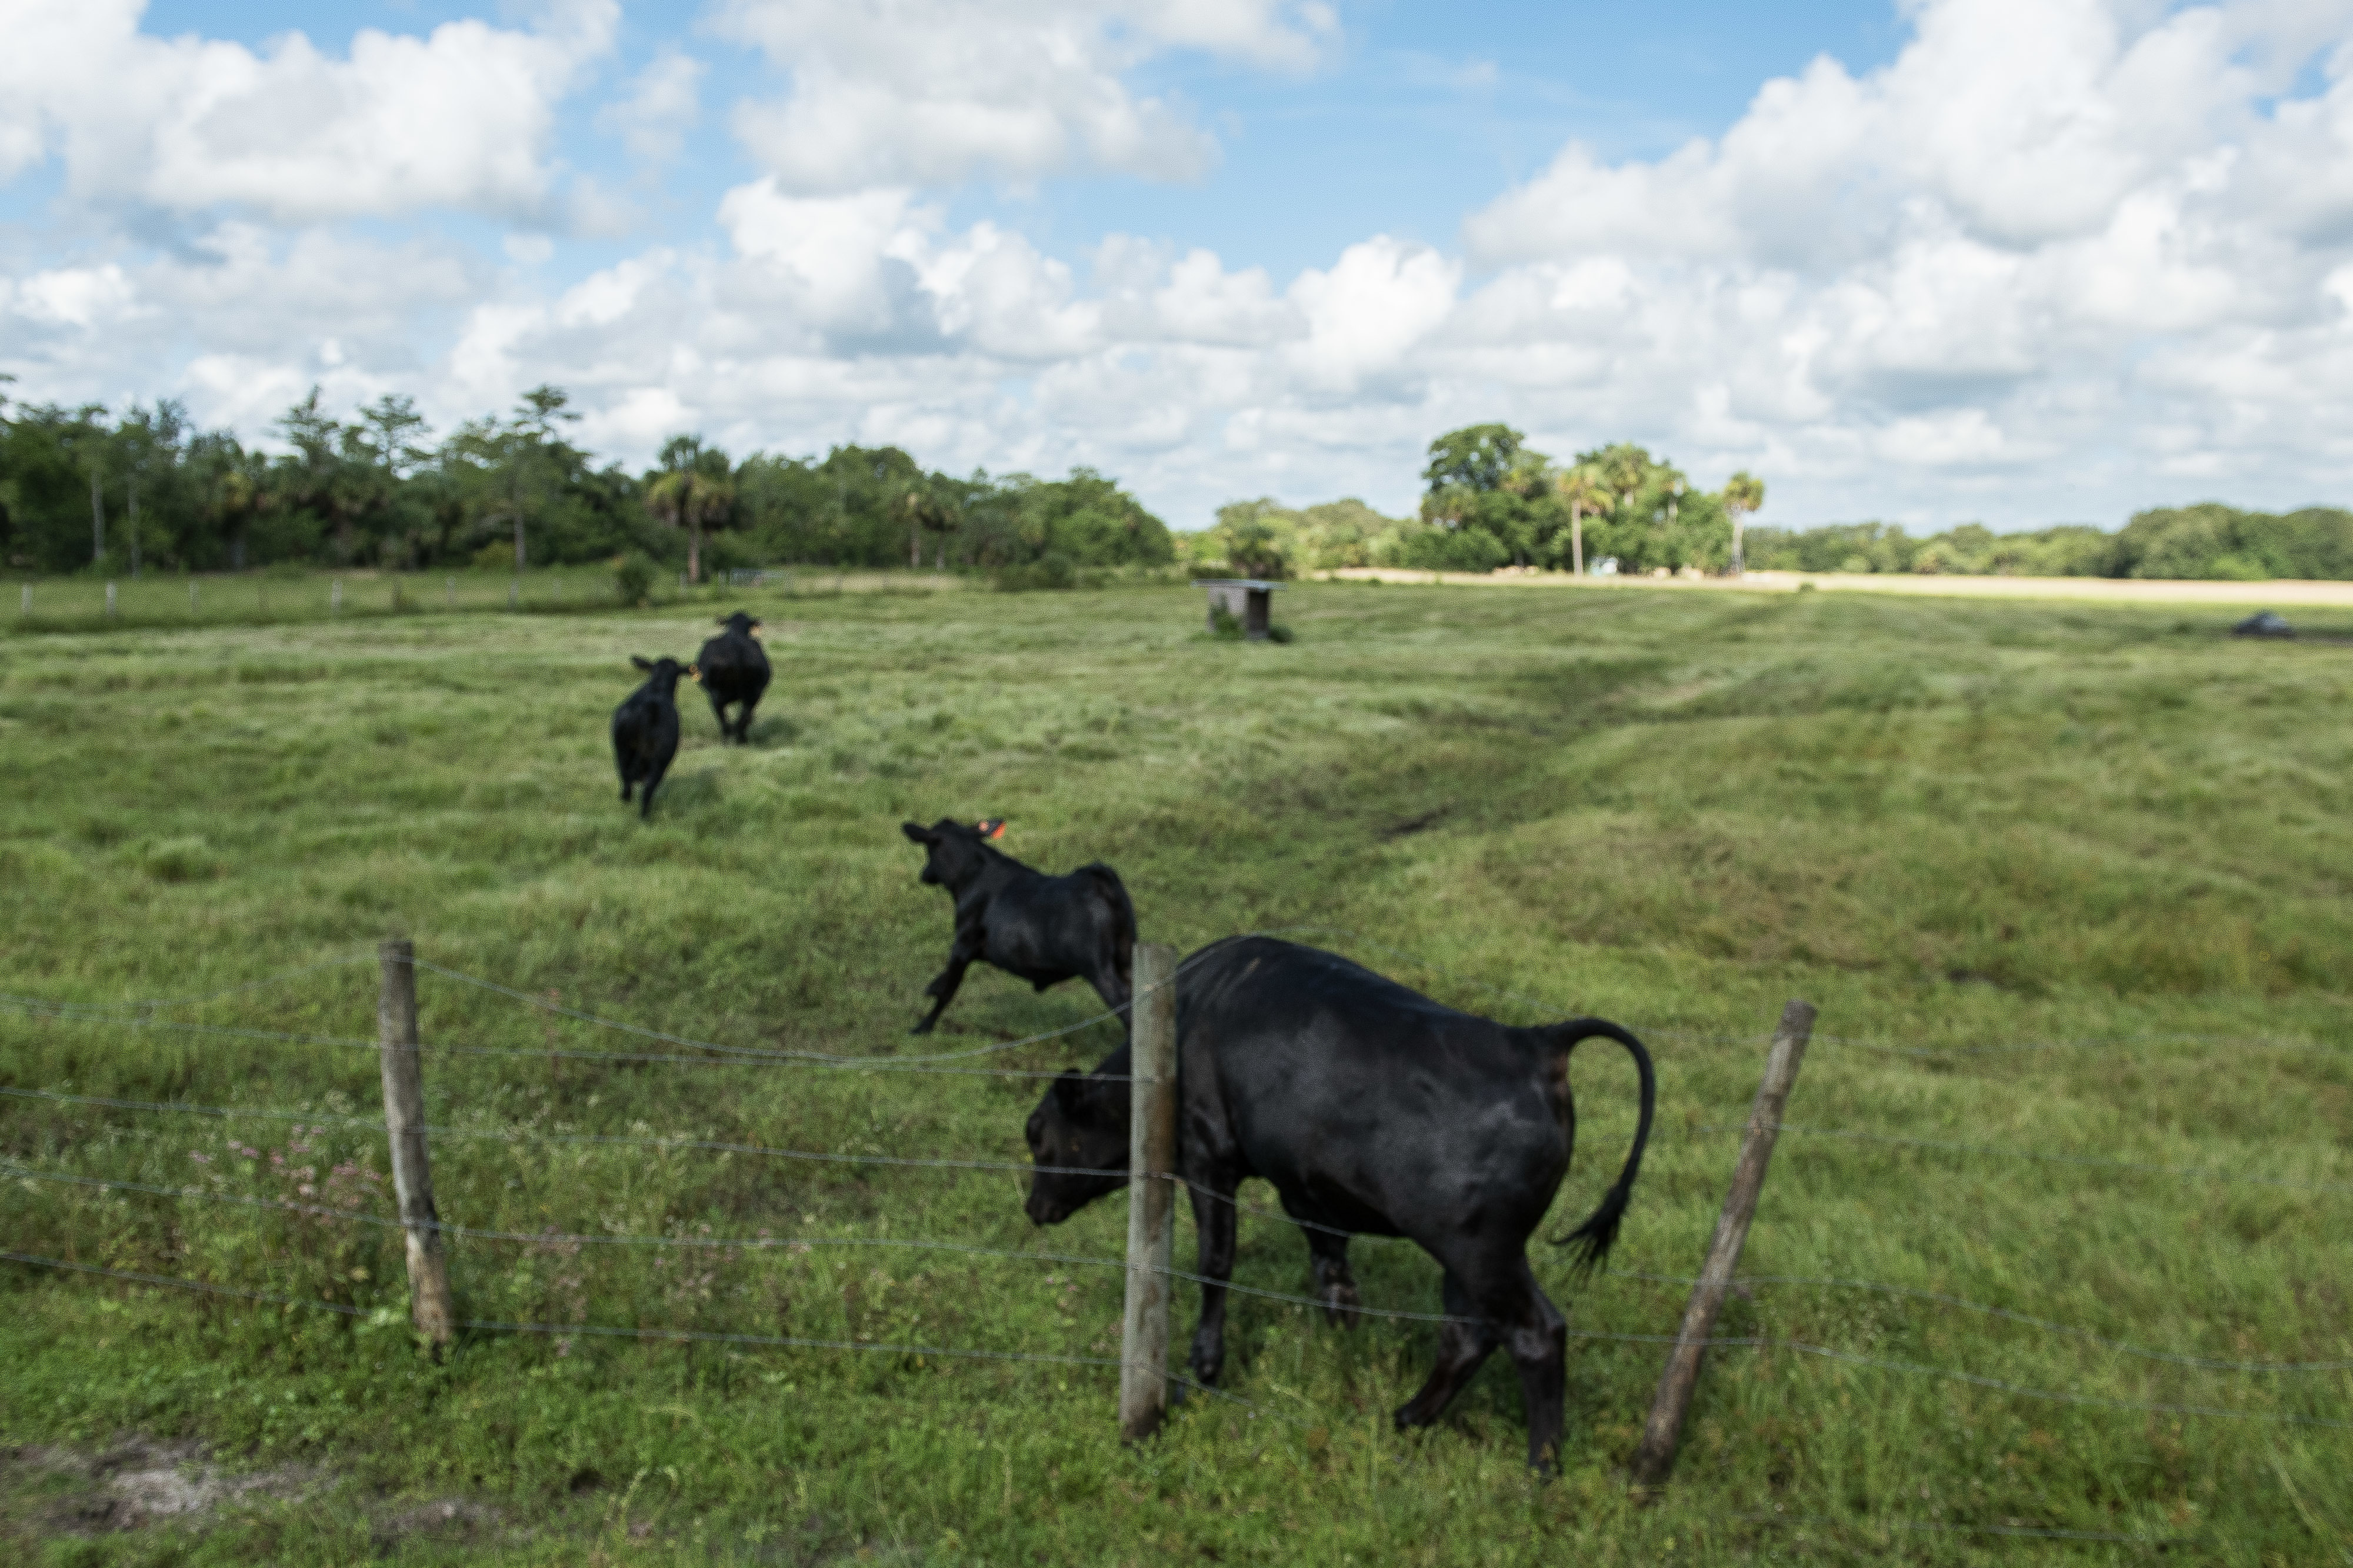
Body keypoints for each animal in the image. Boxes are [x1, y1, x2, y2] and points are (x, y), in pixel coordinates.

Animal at [611, 655, 692, 819]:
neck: (658, 687)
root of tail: (649, 710)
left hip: (622, 750)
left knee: (625, 778)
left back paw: (626, 801)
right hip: (660, 759)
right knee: (648, 788)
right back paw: (644, 818)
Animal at [695, 611, 771, 743]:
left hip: (717, 694)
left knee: (725, 720)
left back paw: (728, 741)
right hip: (754, 692)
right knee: (744, 718)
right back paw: (741, 739)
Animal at [900, 818, 1136, 1038]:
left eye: (928, 848)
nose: (924, 874)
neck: (973, 876)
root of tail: (1097, 878)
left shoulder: (963, 944)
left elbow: (947, 990)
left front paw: (922, 1028)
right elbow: (945, 983)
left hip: (1097, 967)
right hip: (1126, 959)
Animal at [1020, 935, 1656, 1473]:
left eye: (1037, 1133)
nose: (1031, 1207)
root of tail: (1534, 1042)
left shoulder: (1207, 1157)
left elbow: (1216, 1264)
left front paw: (1199, 1372)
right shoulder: (1304, 1186)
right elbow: (1331, 1263)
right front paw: (1338, 1337)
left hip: (1483, 1248)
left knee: (1536, 1333)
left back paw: (1541, 1467)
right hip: (1467, 1249)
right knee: (1466, 1335)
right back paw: (1409, 1418)